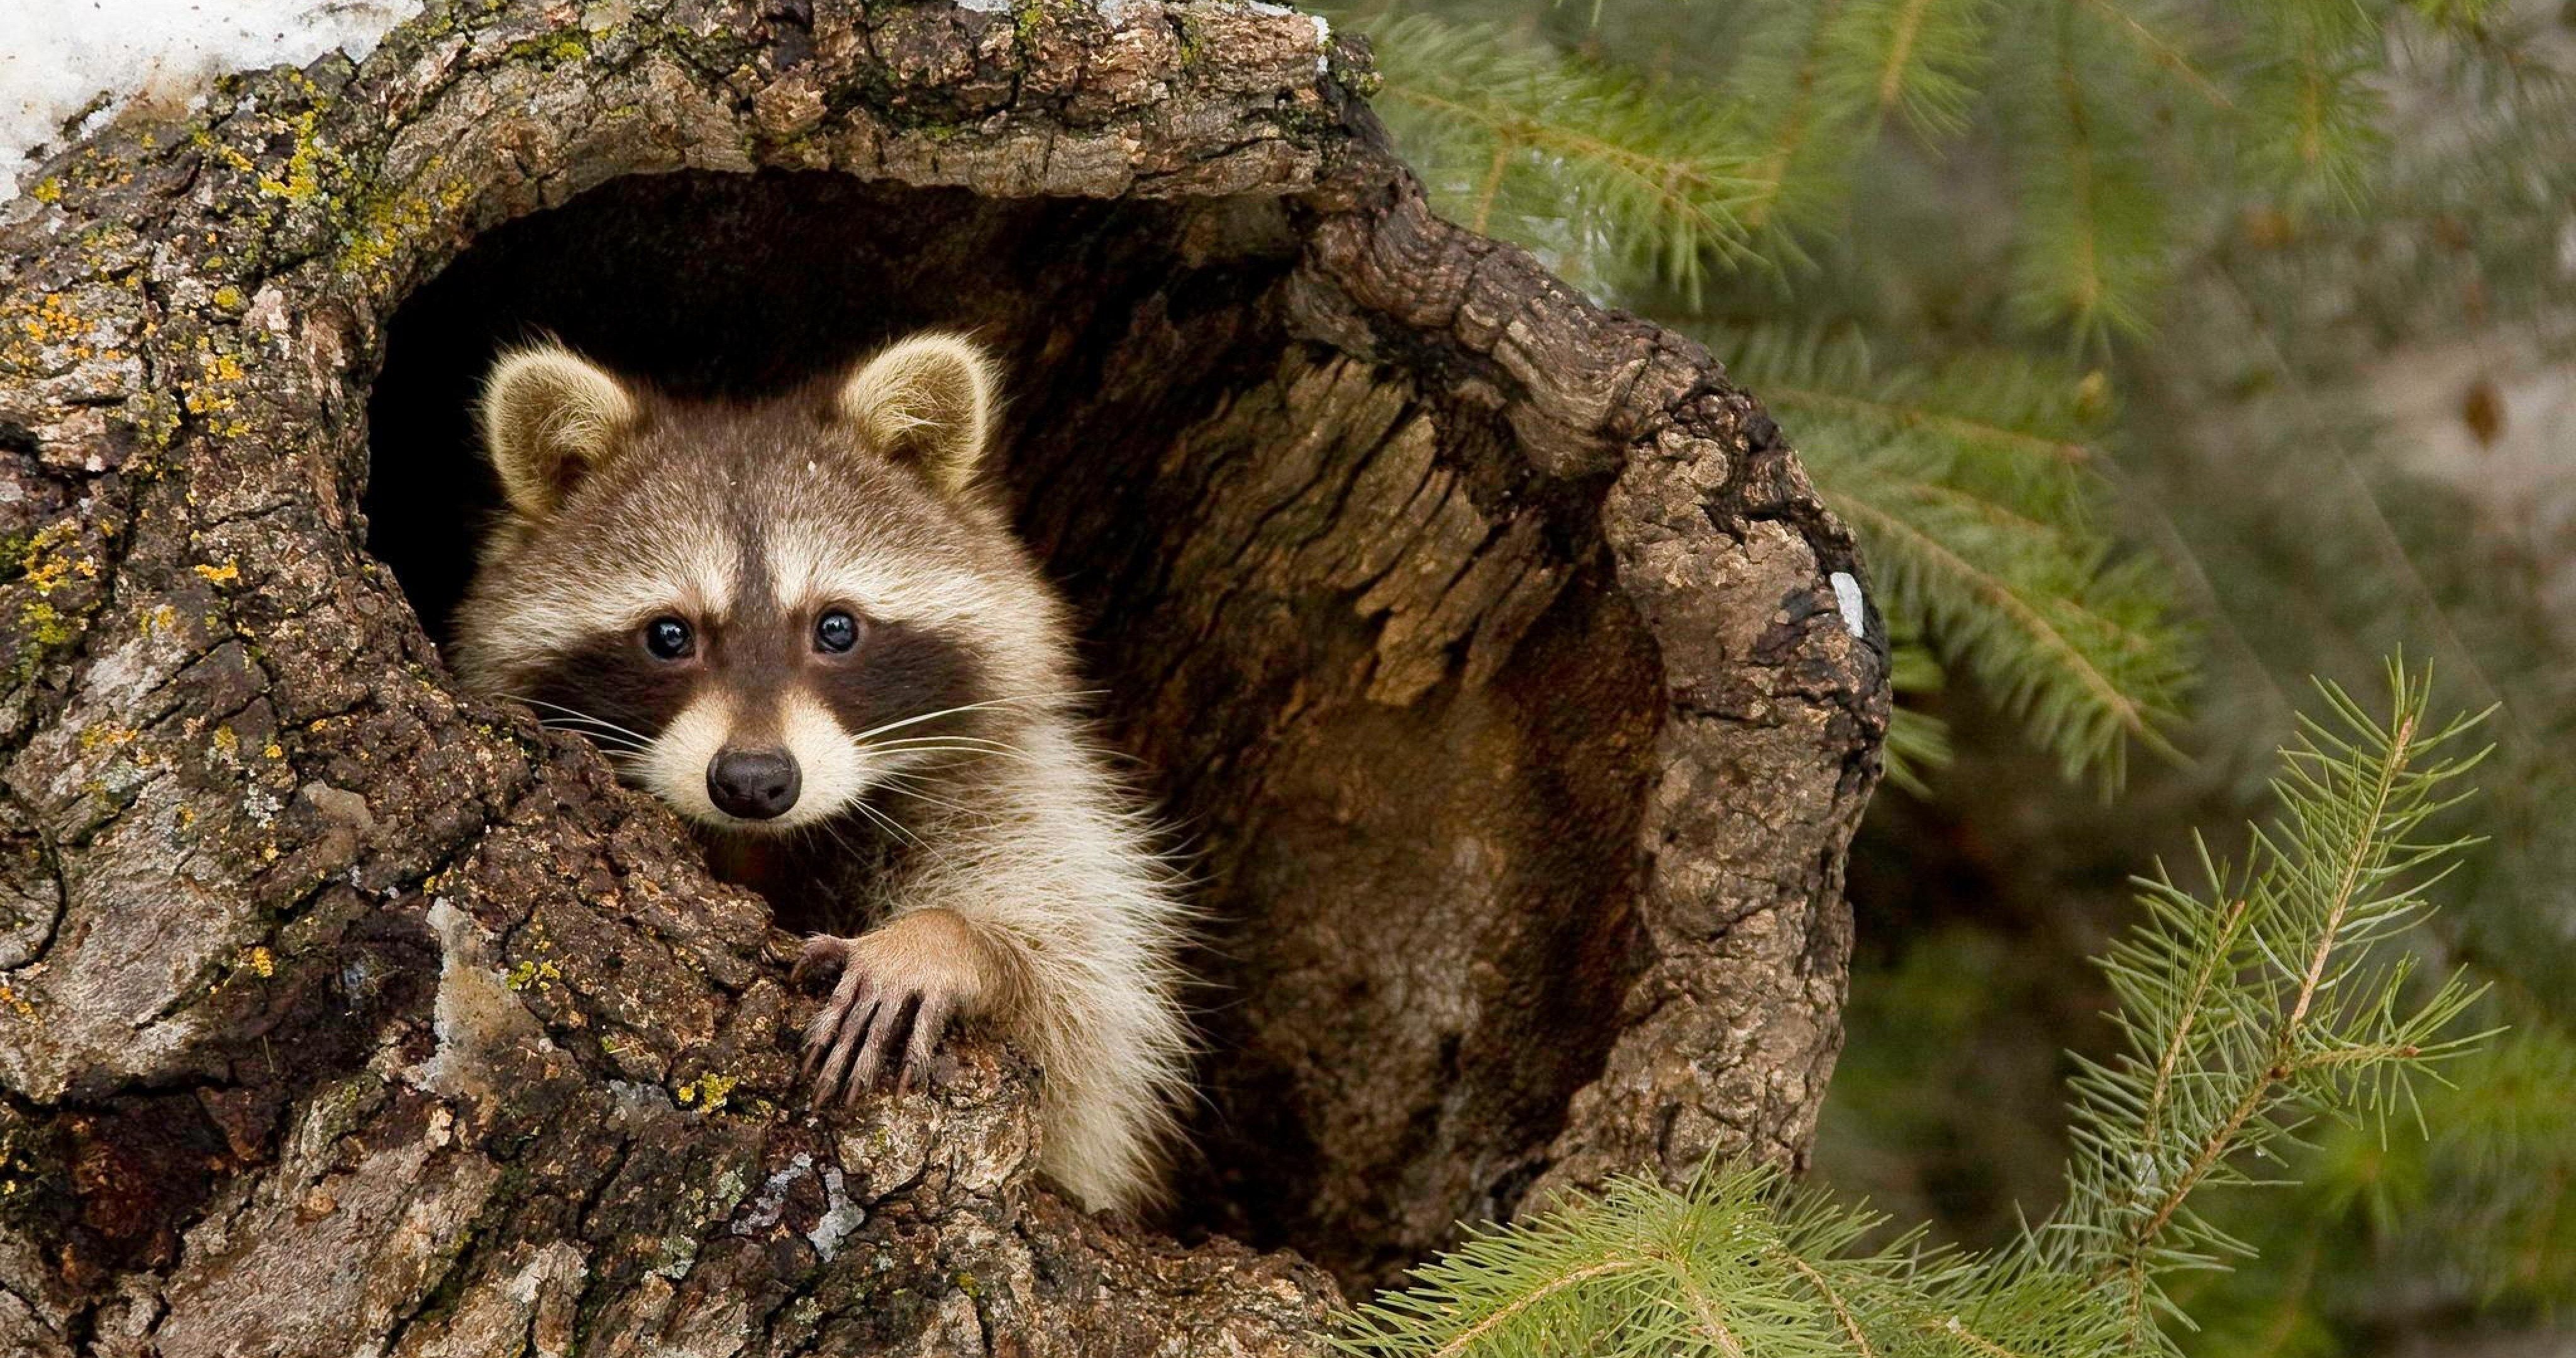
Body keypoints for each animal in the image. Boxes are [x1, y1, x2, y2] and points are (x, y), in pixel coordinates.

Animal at [449, 333, 1192, 1212]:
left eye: (836, 628)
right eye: (669, 636)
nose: (752, 781)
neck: (764, 842)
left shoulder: (1016, 782)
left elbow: (1081, 1004)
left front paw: (947, 939)